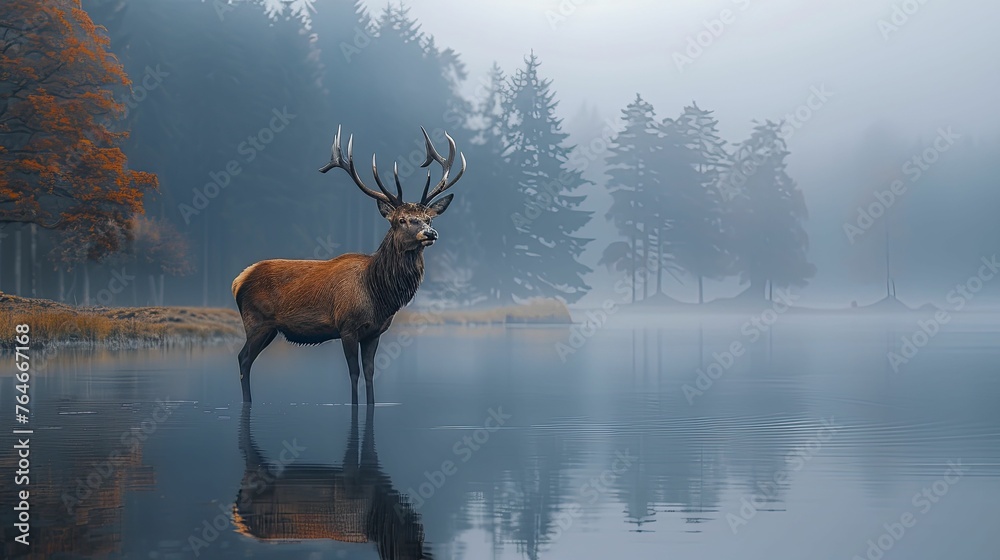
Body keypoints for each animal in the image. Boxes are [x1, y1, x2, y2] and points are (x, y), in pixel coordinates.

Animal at [232, 125, 466, 404]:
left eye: (428, 218)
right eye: (401, 220)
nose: (430, 233)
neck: (378, 295)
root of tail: (239, 280)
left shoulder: (374, 332)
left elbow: (370, 374)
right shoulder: (347, 327)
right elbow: (354, 375)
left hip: (268, 329)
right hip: (257, 321)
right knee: (243, 359)